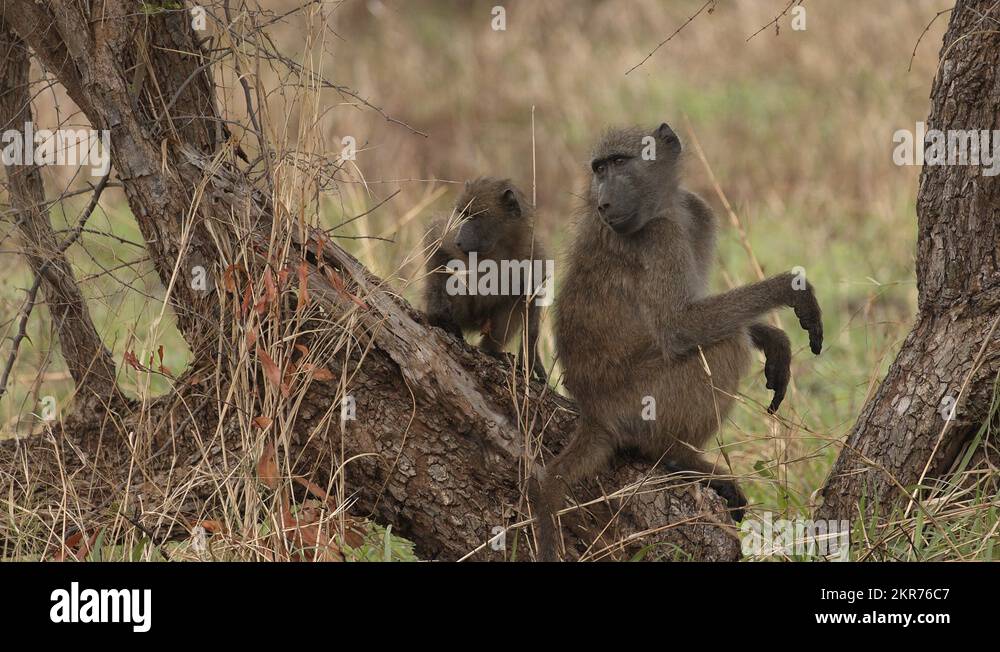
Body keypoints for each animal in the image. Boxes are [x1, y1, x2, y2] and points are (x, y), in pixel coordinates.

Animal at [424, 177, 548, 377]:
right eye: (463, 215)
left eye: (474, 217)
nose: (459, 241)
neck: (498, 248)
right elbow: (435, 239)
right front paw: (438, 309)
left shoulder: (533, 254)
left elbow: (533, 295)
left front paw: (530, 356)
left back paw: (491, 351)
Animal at [533, 123, 822, 561]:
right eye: (599, 168)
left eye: (618, 162)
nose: (603, 203)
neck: (665, 208)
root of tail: (594, 411)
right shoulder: (660, 238)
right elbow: (681, 328)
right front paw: (793, 288)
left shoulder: (697, 213)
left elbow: (697, 312)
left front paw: (771, 338)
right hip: (641, 400)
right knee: (726, 345)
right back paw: (676, 456)